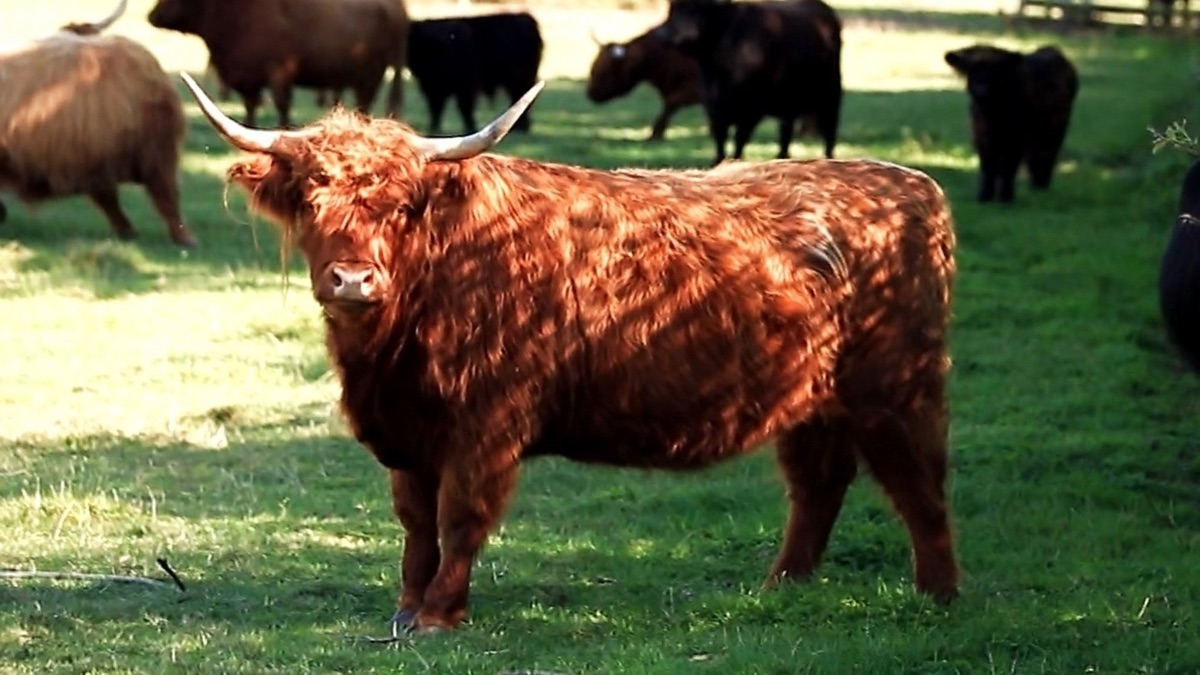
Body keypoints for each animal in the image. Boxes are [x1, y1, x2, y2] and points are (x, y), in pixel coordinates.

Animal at [147, 0, 409, 128]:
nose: (152, 16)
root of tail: (398, 9)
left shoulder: (279, 72)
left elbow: (282, 105)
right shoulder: (250, 78)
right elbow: (250, 106)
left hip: (369, 77)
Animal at [181, 72, 961, 633]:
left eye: (402, 206)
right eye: (312, 202)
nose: (351, 279)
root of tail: (913, 183)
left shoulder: (486, 423)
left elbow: (459, 517)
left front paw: (438, 616)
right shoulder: (411, 430)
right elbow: (415, 521)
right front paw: (405, 607)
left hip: (898, 390)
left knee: (919, 486)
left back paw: (938, 597)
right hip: (812, 399)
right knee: (819, 483)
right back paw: (780, 589)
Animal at [406, 12, 543, 134]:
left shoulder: (466, 85)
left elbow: (465, 107)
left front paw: (470, 128)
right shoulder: (432, 87)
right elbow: (435, 108)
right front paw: (433, 128)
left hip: (522, 79)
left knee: (522, 99)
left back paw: (522, 128)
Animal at [654, 0, 843, 165]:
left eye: (692, 10)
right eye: (671, 11)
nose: (662, 35)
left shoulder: (752, 108)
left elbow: (740, 139)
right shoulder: (714, 105)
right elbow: (720, 138)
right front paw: (717, 162)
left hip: (831, 95)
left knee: (830, 131)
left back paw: (829, 159)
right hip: (789, 102)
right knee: (786, 131)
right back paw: (781, 157)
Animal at [945, 44, 1079, 203]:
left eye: (995, 71)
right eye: (971, 69)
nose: (981, 90)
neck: (993, 116)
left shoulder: (1016, 137)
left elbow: (1009, 166)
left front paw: (1006, 197)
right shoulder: (980, 135)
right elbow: (987, 165)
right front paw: (985, 196)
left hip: (1056, 127)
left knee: (1048, 152)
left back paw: (1041, 185)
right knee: (1034, 155)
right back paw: (1035, 185)